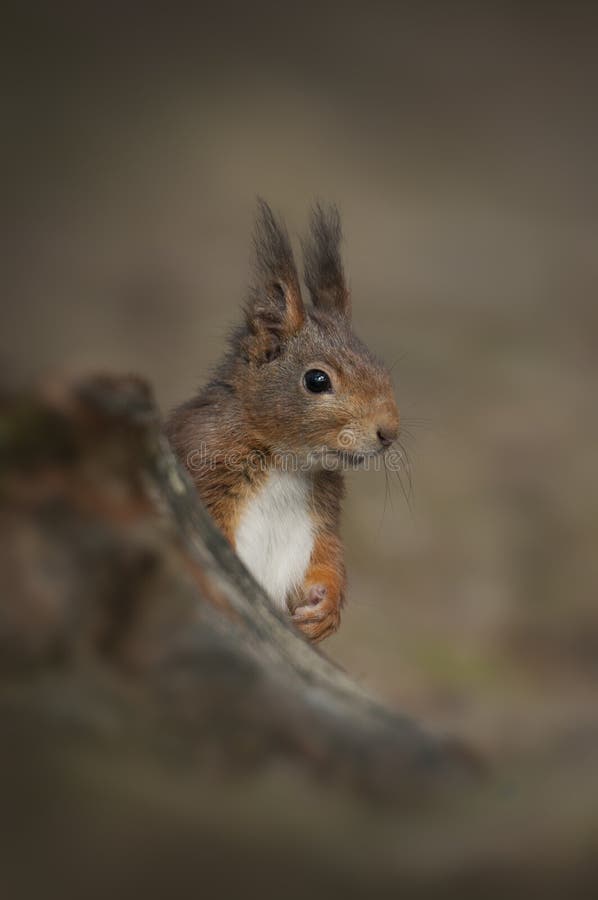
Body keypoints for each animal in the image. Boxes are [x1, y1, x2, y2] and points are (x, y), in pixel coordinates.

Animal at [165, 201, 400, 642]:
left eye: (380, 365)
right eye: (316, 380)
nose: (389, 432)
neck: (287, 464)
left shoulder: (319, 517)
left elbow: (329, 555)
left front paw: (325, 608)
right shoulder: (201, 468)